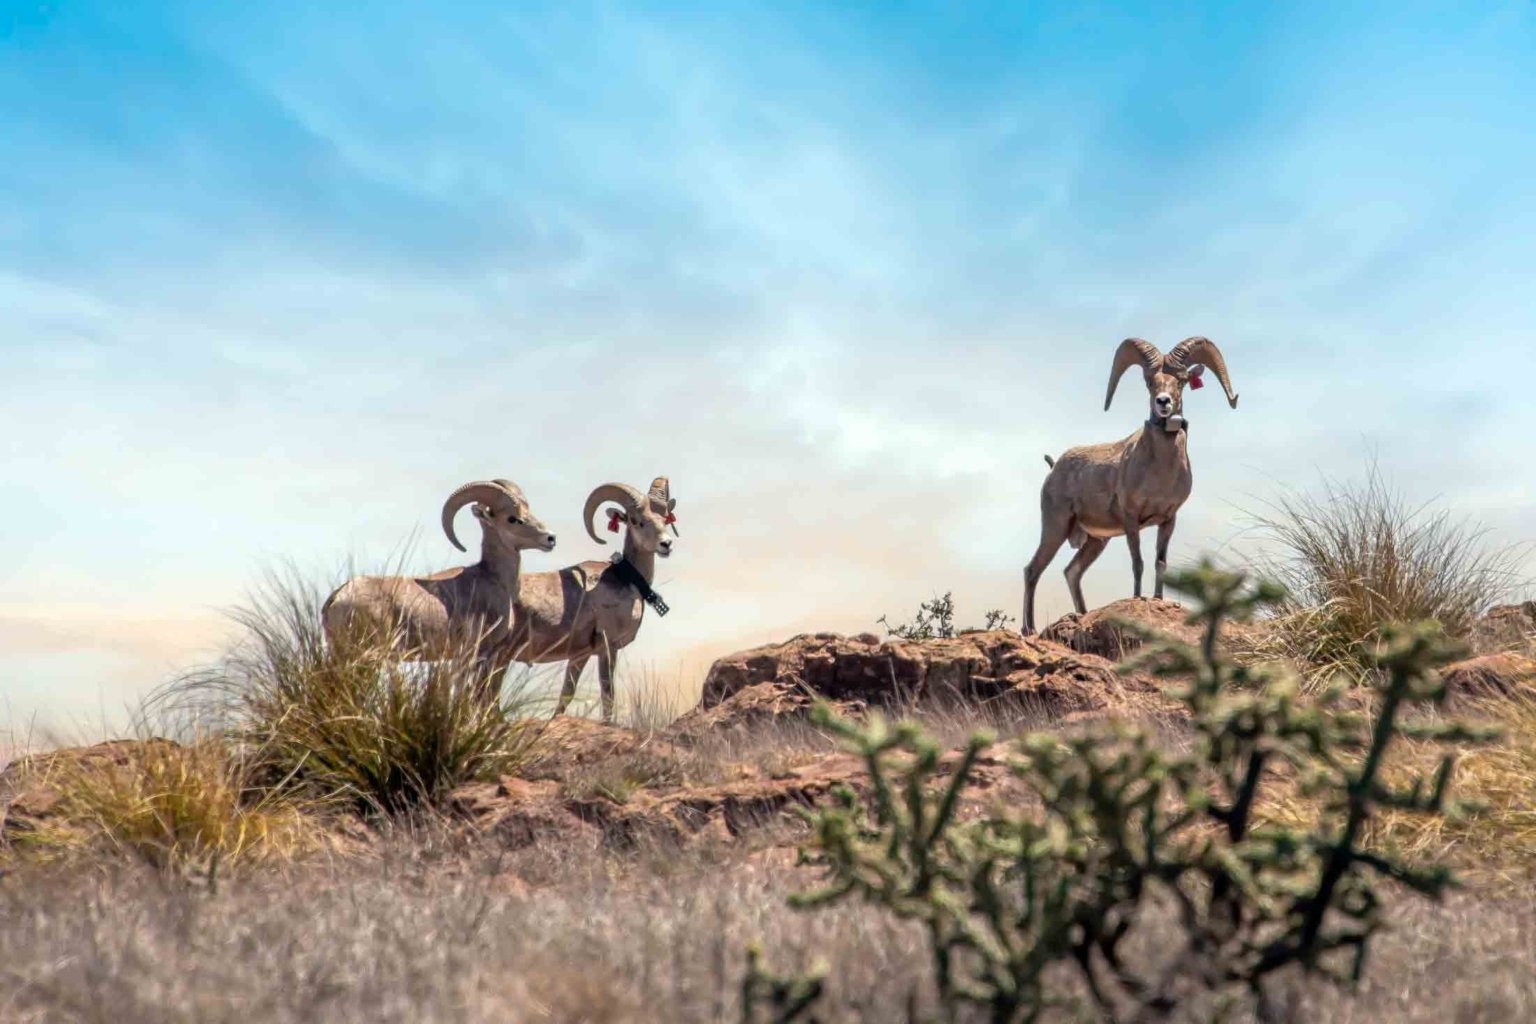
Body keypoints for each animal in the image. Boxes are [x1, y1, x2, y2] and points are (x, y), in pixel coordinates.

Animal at [508, 477, 678, 723]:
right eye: (636, 521)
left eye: (664, 519)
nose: (666, 544)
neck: (626, 579)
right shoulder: (608, 648)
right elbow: (608, 694)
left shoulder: (579, 656)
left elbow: (566, 695)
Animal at [1021, 337, 1239, 634]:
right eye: (1149, 381)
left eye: (1182, 380)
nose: (1163, 402)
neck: (1160, 472)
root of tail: (1054, 467)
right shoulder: (1131, 519)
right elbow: (1138, 563)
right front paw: (1137, 599)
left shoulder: (1167, 520)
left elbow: (1160, 563)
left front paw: (1158, 599)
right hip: (1056, 526)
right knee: (1032, 570)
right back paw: (1029, 630)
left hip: (1095, 541)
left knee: (1072, 572)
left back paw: (1083, 615)